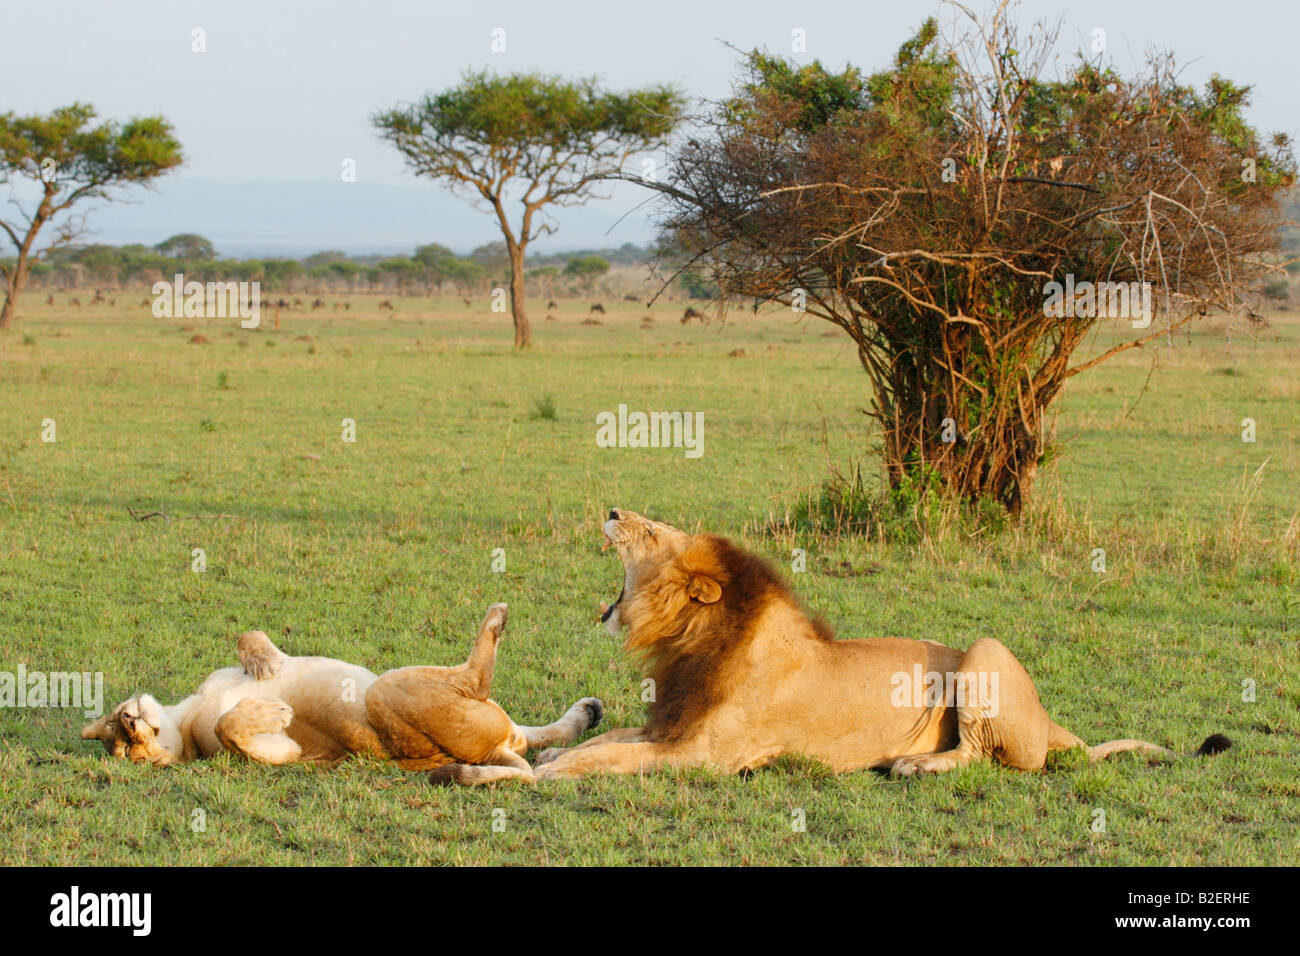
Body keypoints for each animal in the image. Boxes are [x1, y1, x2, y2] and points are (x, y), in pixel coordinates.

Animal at [82, 603, 602, 783]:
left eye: (113, 725)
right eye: (126, 751)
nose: (129, 724)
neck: (185, 719)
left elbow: (248, 634)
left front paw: (265, 662)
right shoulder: (285, 753)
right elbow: (231, 728)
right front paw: (272, 710)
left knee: (531, 738)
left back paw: (588, 712)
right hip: (391, 689)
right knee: (480, 685)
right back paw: (496, 620)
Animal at [531, 510, 1230, 781]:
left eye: (651, 533)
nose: (615, 512)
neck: (689, 640)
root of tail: (1050, 720)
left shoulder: (701, 755)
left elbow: (614, 757)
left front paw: (553, 770)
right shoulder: (671, 724)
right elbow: (608, 739)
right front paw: (553, 755)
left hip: (984, 652)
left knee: (986, 756)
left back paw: (917, 765)